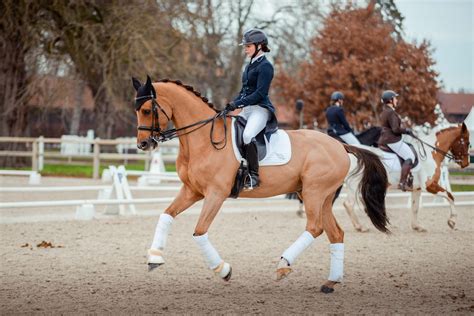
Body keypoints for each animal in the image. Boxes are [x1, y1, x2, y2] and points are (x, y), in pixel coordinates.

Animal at [131, 76, 388, 294]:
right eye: (137, 110)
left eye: (147, 110)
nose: (143, 144)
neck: (203, 139)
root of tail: (339, 146)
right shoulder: (192, 191)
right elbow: (166, 215)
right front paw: (155, 258)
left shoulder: (216, 194)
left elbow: (200, 232)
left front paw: (223, 270)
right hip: (319, 196)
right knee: (335, 233)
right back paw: (330, 282)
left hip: (314, 193)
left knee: (315, 228)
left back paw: (283, 266)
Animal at [340, 123, 470, 232]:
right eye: (468, 143)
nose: (466, 163)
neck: (430, 153)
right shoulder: (429, 185)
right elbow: (450, 196)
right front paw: (452, 221)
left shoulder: (417, 189)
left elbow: (415, 207)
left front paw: (417, 226)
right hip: (354, 184)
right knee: (348, 204)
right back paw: (360, 227)